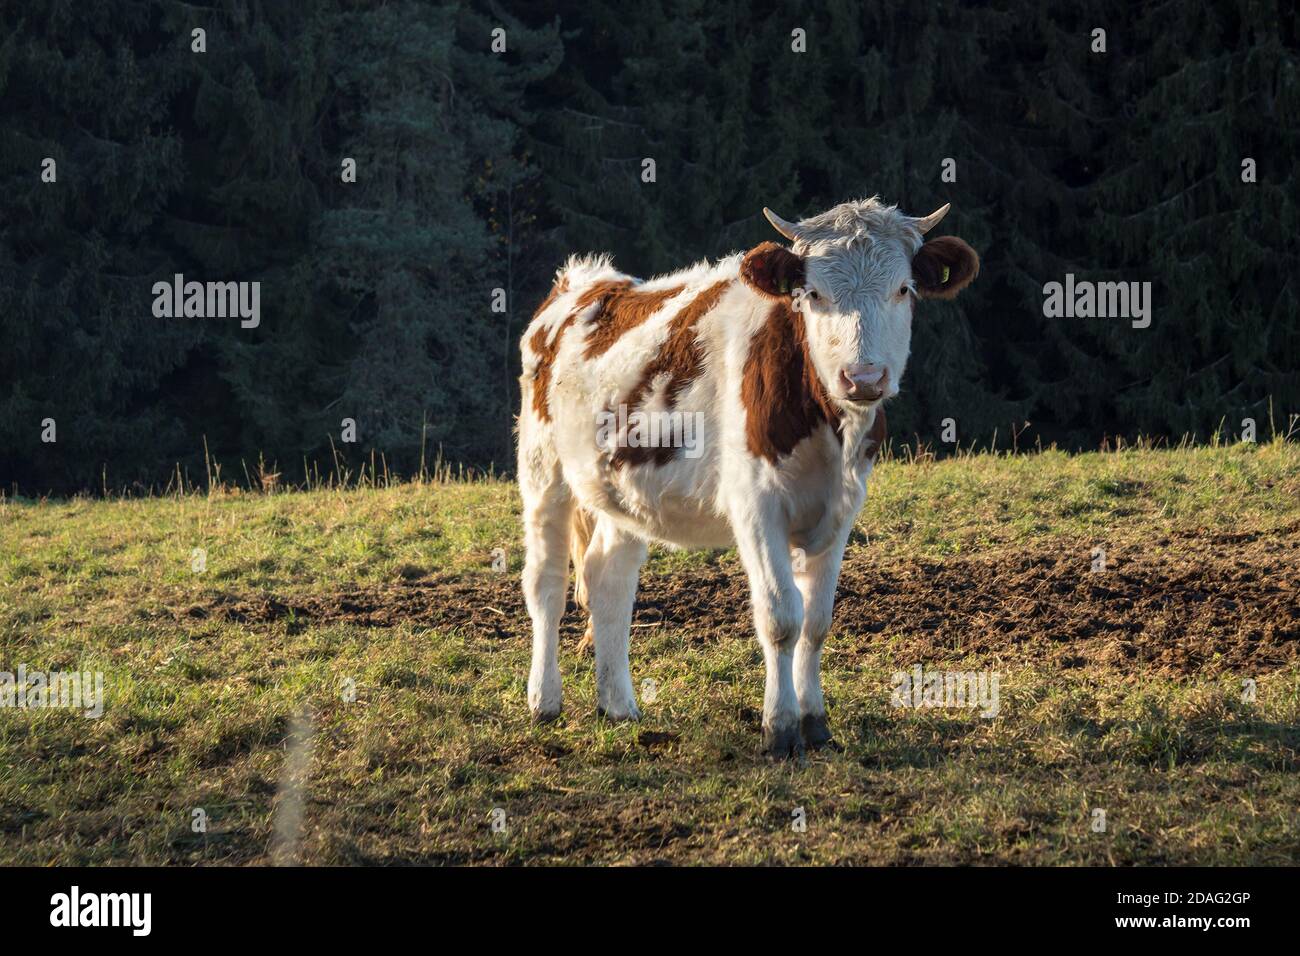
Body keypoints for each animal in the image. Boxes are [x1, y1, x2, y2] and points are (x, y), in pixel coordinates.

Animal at [517, 197, 979, 758]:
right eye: (813, 293)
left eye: (904, 289)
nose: (863, 377)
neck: (828, 427)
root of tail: (586, 280)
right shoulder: (756, 506)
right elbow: (782, 618)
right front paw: (779, 729)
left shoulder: (841, 510)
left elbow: (816, 623)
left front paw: (816, 724)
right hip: (542, 469)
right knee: (546, 582)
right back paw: (544, 701)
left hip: (622, 489)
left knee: (609, 577)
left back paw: (619, 705)